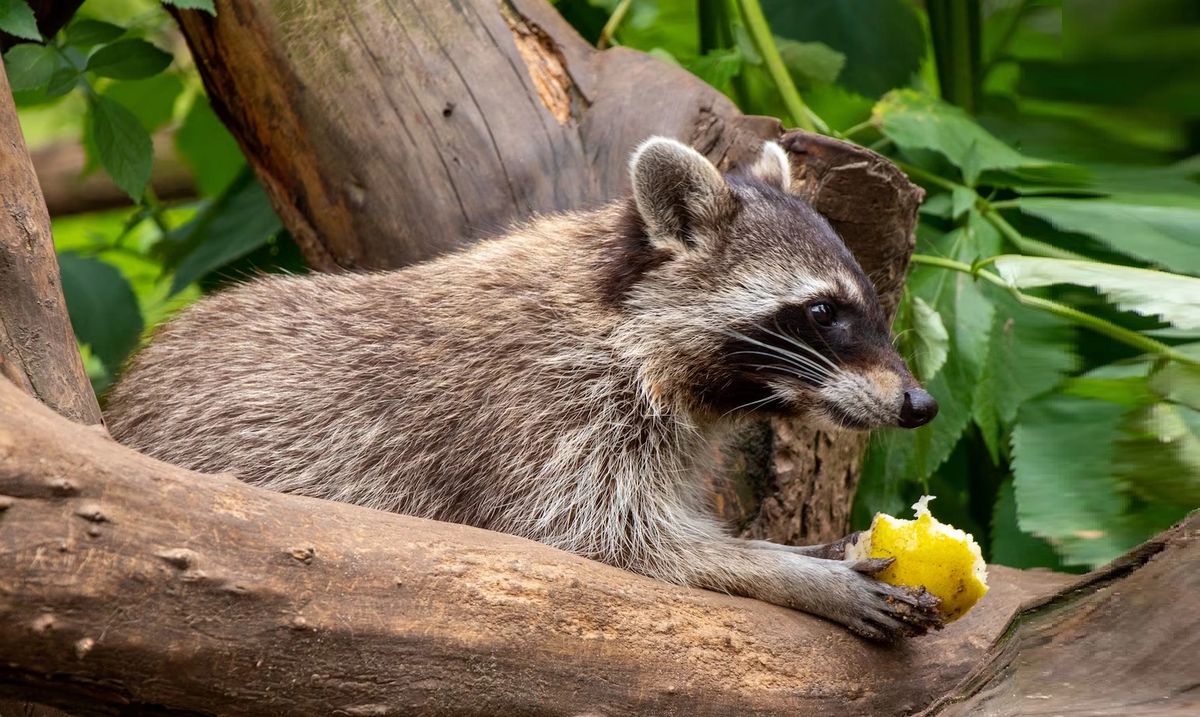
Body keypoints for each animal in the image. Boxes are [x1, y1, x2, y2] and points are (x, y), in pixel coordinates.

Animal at [106, 137, 941, 640]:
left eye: (871, 304)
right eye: (824, 312)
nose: (920, 404)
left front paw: (801, 546)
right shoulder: (540, 412)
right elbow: (610, 543)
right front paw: (787, 569)